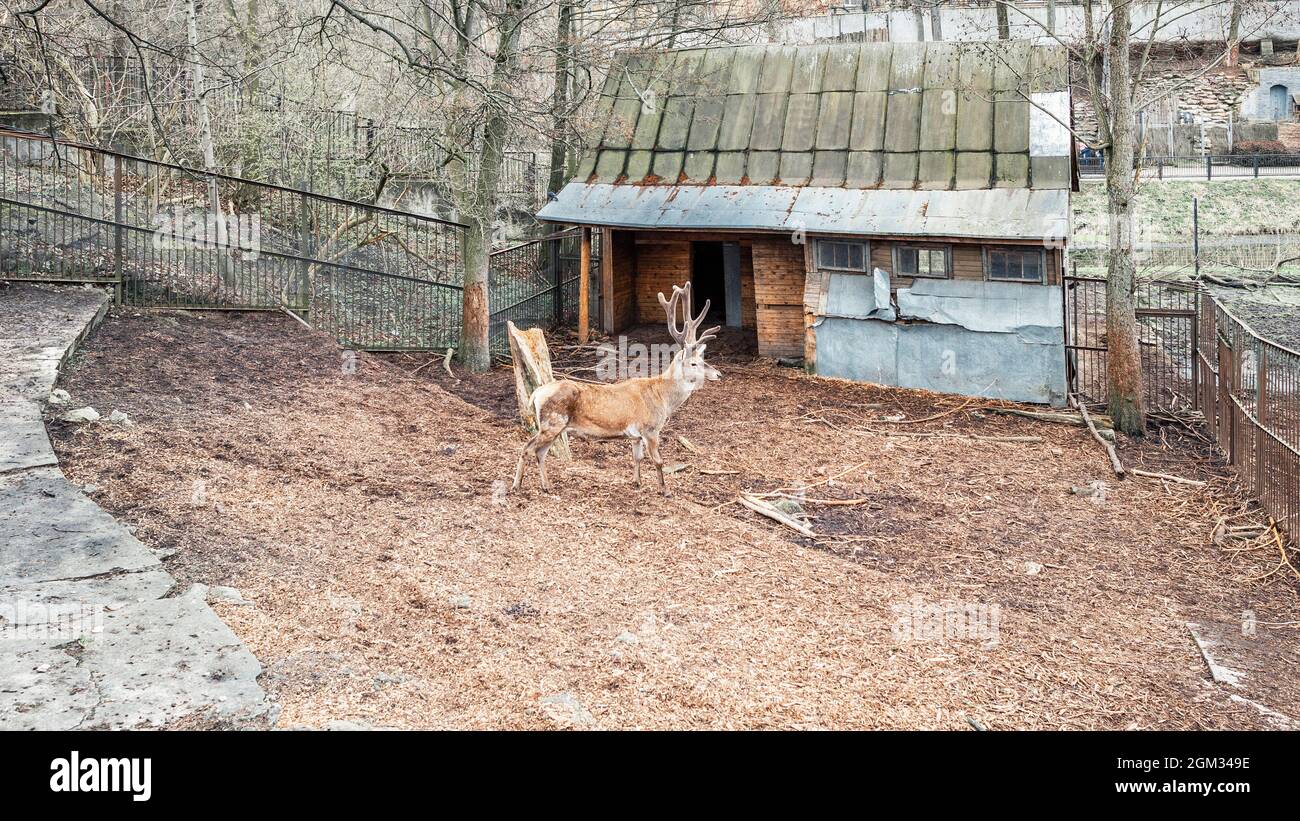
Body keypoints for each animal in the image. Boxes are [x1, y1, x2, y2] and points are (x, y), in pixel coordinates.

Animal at [512, 281, 721, 495]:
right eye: (694, 363)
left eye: (703, 359)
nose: (719, 374)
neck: (662, 398)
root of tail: (536, 394)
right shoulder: (650, 428)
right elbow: (658, 461)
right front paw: (665, 490)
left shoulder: (636, 436)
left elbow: (637, 457)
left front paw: (637, 482)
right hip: (552, 422)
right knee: (528, 447)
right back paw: (516, 485)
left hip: (555, 427)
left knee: (540, 452)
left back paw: (546, 486)